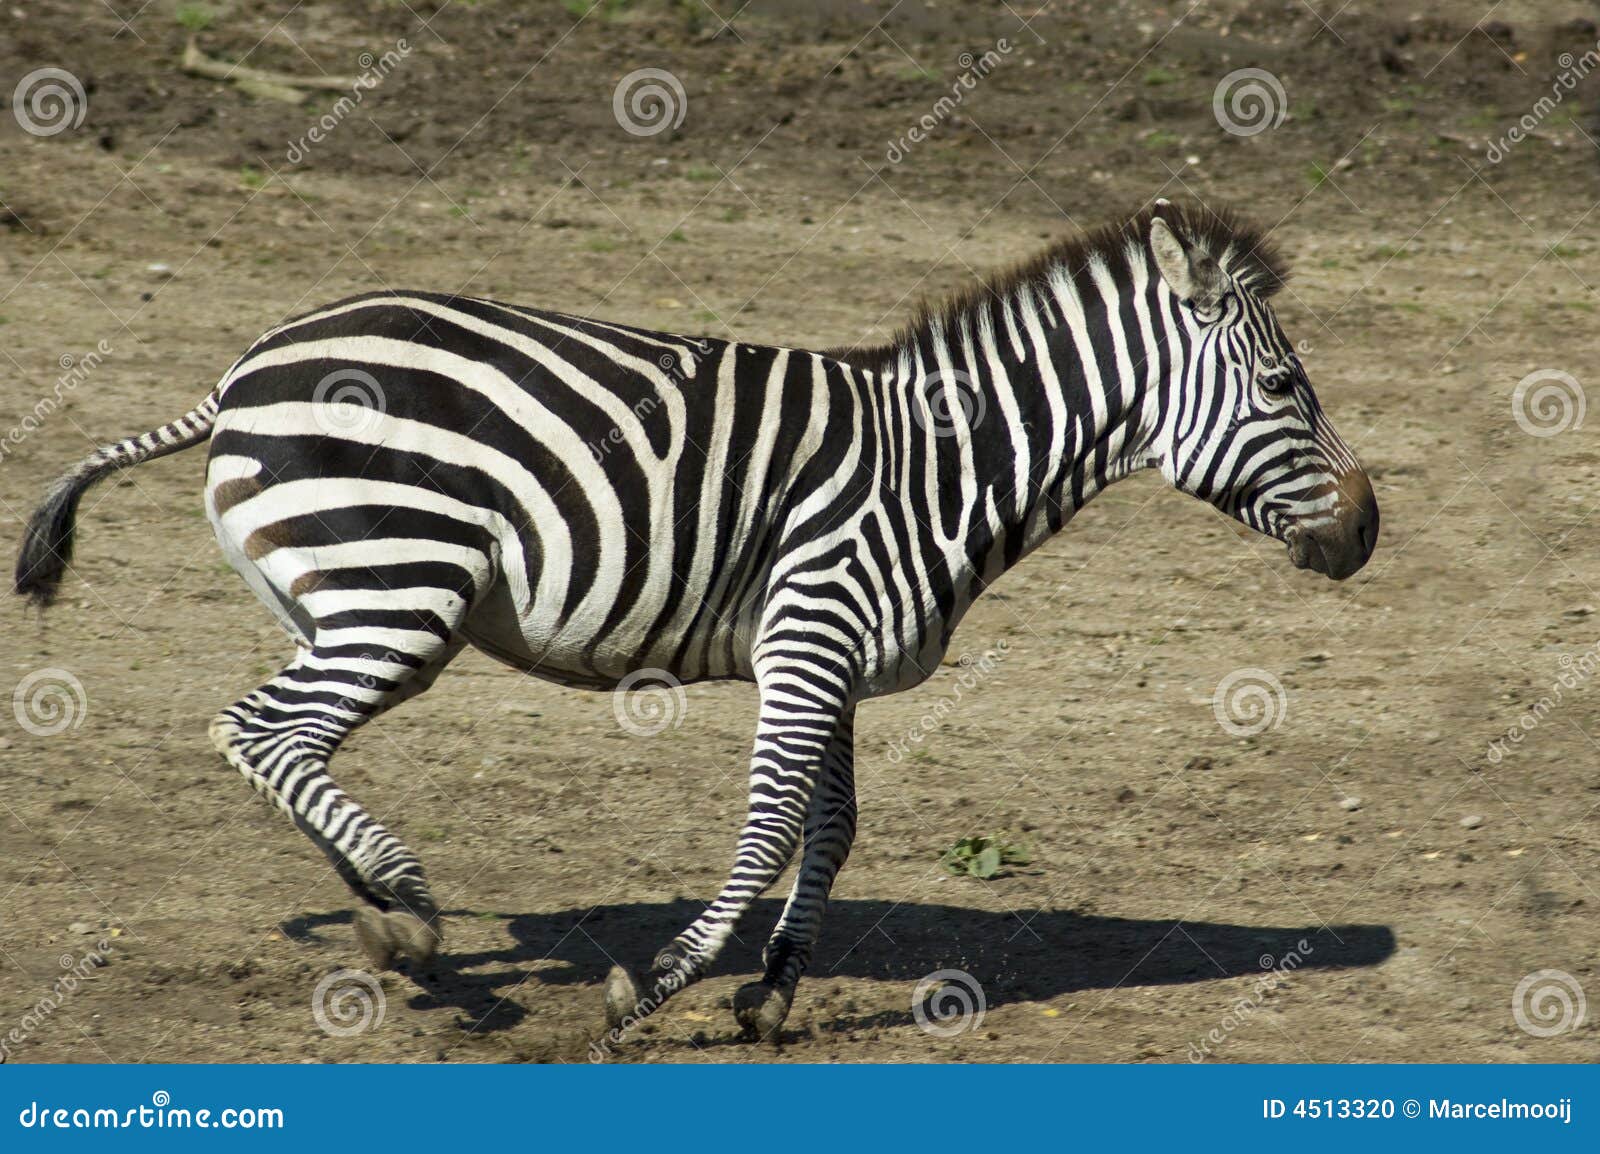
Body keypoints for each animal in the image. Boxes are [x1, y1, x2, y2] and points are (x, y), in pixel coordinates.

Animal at [13, 198, 1377, 1044]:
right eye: (1279, 384)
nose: (1368, 529)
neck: (943, 467)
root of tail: (246, 367)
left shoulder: (828, 653)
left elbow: (831, 825)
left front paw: (769, 997)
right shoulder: (810, 630)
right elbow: (770, 825)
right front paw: (653, 989)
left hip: (344, 595)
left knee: (280, 738)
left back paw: (386, 909)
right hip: (401, 588)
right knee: (264, 731)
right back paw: (405, 904)